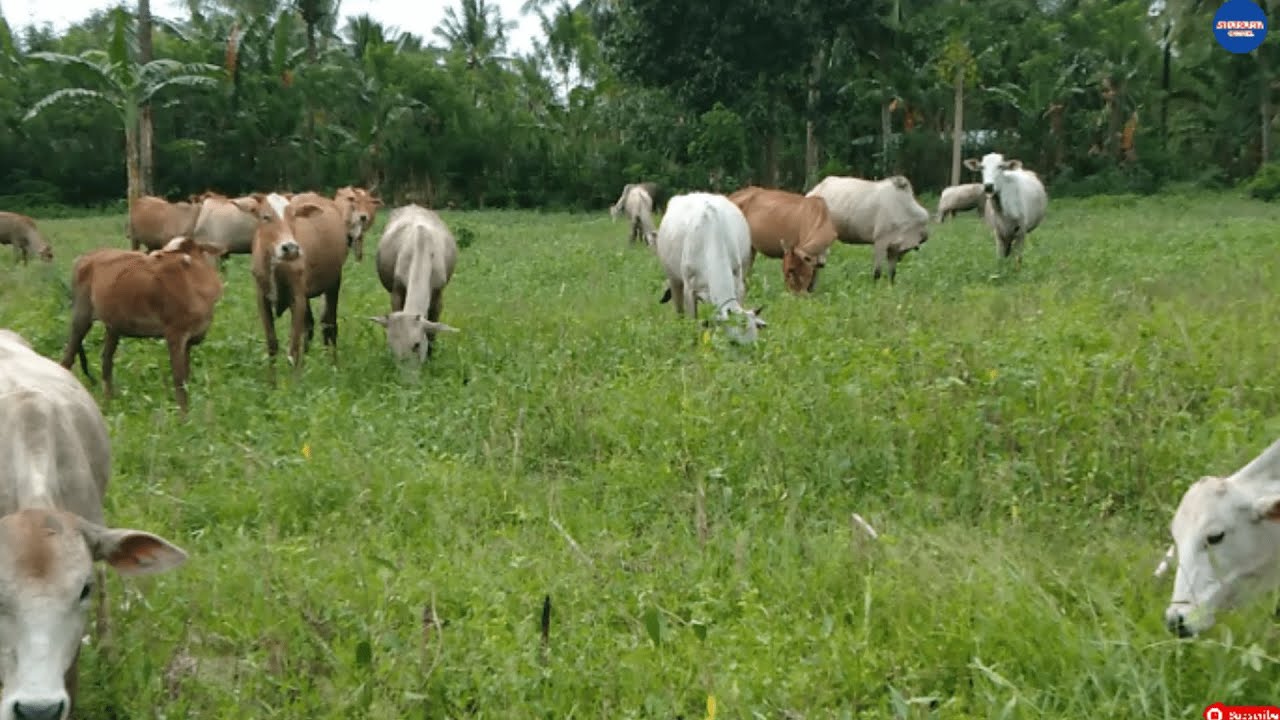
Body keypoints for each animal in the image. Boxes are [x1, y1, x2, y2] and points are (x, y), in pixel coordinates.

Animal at [60, 237, 227, 415]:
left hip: (113, 323)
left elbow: (186, 378)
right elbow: (179, 379)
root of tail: (86, 257)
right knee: (68, 358)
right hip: (81, 313)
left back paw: (109, 403)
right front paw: (183, 416)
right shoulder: (175, 333)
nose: (156, 254)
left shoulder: (190, 339)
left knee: (106, 360)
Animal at [249, 194, 349, 368]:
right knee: (310, 326)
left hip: (333, 282)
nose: (290, 248)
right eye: (265, 217)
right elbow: (272, 345)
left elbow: (293, 350)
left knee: (329, 325)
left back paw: (332, 364)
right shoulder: (262, 298)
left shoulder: (297, 298)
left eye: (294, 216)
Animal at [370, 204, 460, 364]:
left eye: (416, 345)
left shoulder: (438, 293)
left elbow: (432, 329)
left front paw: (430, 358)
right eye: (391, 345)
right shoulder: (396, 290)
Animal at [654, 192, 767, 344]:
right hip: (674, 279)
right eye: (733, 342)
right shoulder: (689, 291)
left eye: (754, 342)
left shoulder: (739, 286)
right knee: (679, 312)